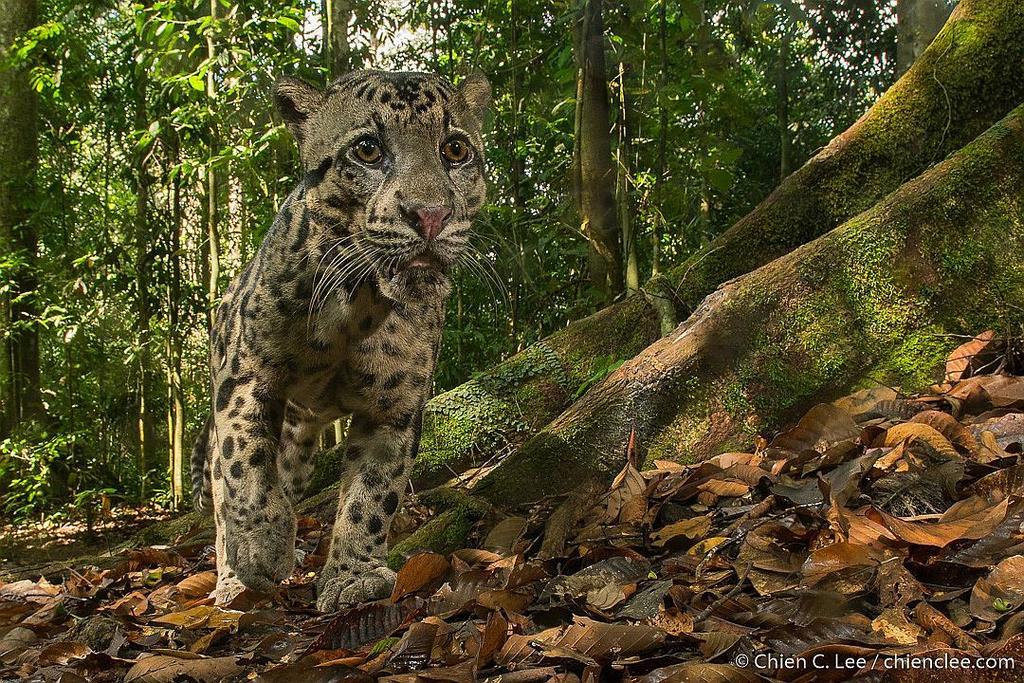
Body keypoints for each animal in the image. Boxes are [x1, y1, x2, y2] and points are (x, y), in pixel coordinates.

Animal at [188, 69, 490, 611]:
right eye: (367, 150)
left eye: (455, 149)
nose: (430, 215)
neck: (358, 308)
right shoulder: (245, 375)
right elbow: (244, 465)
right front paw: (262, 545)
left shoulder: (394, 408)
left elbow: (372, 495)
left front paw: (353, 576)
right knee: (225, 491)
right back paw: (234, 576)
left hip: (298, 437)